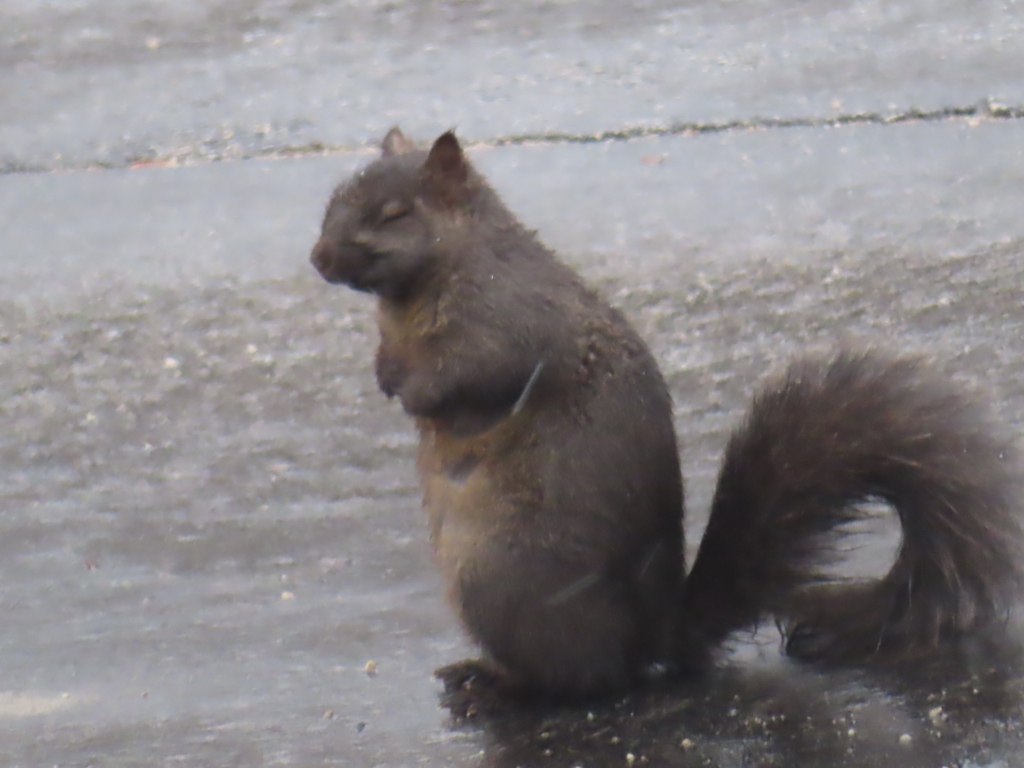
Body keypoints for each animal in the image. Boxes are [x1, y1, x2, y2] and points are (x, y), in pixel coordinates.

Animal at [310, 128, 1024, 709]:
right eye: (336, 194)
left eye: (395, 213)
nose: (319, 259)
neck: (421, 288)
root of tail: (652, 637)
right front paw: (382, 368)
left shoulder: (508, 321)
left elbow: (473, 375)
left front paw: (407, 386)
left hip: (500, 580)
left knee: (582, 680)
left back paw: (497, 686)